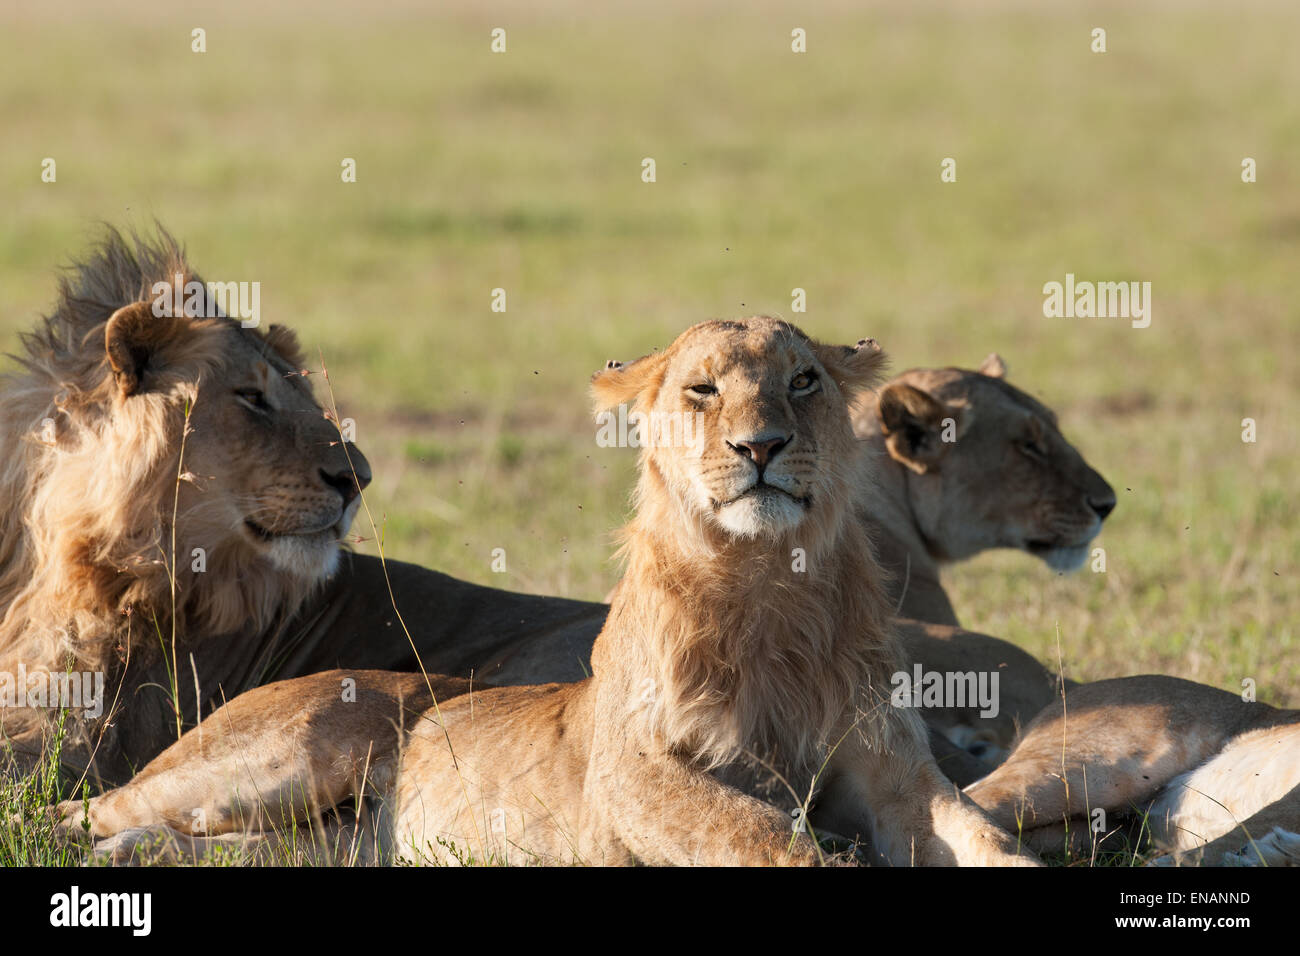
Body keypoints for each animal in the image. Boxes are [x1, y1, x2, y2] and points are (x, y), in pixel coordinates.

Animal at [53, 318, 1037, 866]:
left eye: (804, 381)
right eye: (703, 389)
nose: (761, 445)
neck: (771, 586)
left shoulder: (893, 769)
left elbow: (986, 839)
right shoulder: (634, 772)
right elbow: (764, 836)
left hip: (328, 848)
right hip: (286, 751)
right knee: (85, 806)